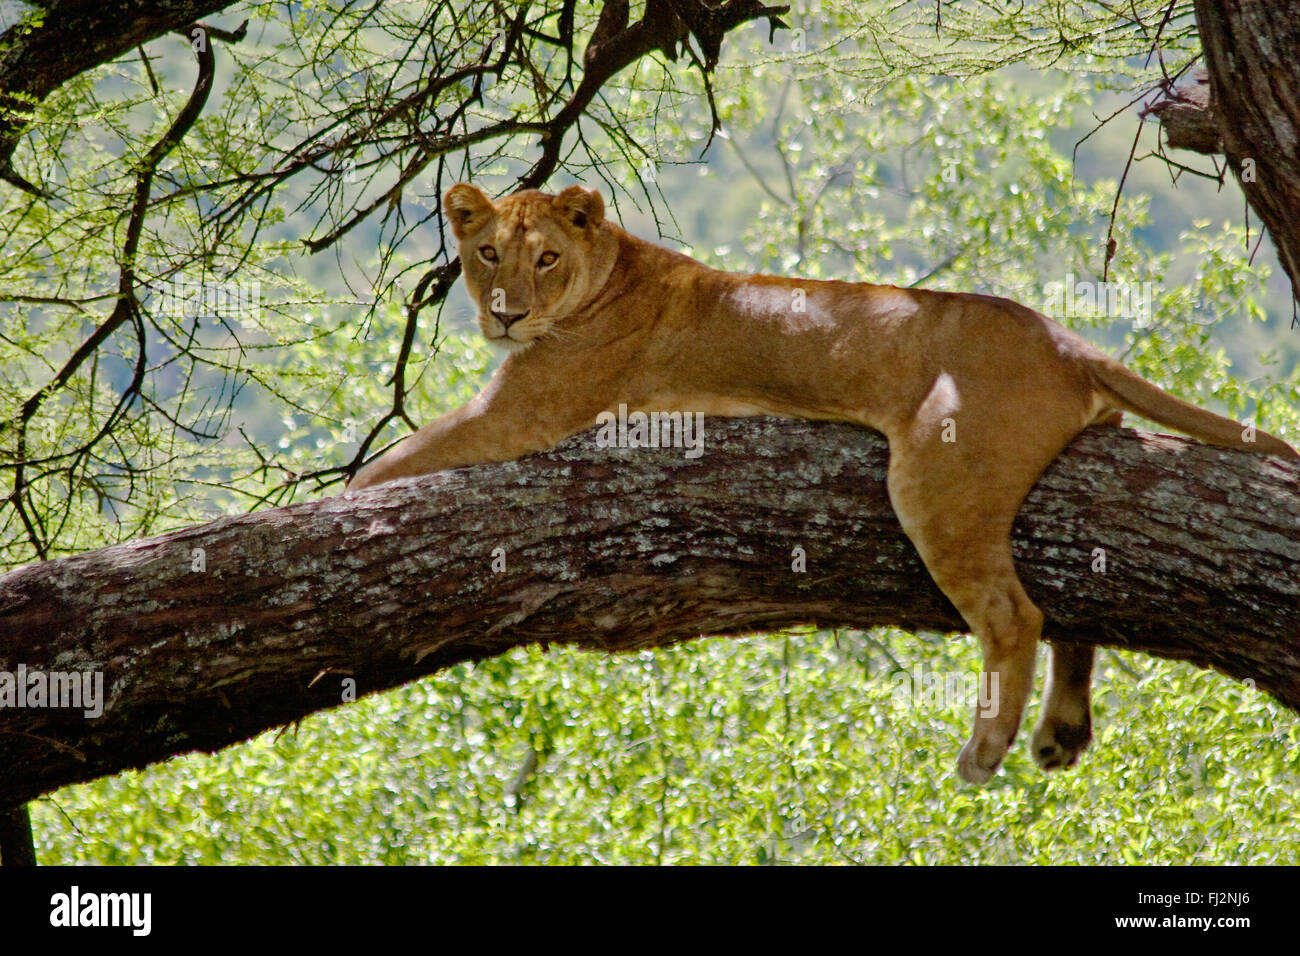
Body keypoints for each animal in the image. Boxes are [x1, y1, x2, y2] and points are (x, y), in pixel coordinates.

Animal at [347, 182, 1298, 784]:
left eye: (543, 259)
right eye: (485, 253)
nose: (504, 313)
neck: (611, 269)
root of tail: (1066, 340)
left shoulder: (522, 411)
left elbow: (390, 462)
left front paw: (320, 507)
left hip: (936, 476)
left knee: (1014, 616)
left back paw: (986, 750)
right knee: (1077, 605)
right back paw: (1060, 736)